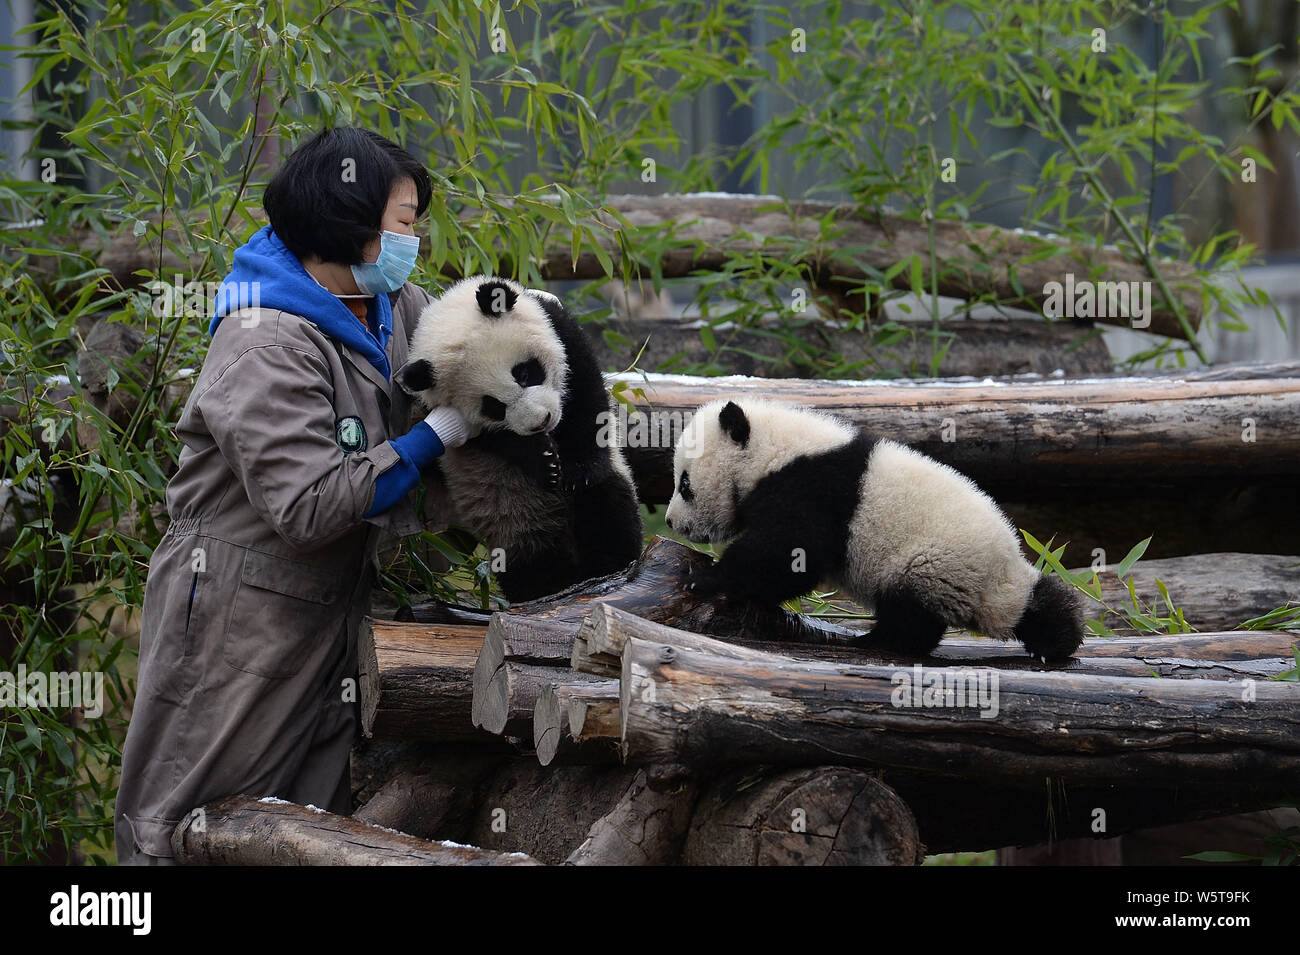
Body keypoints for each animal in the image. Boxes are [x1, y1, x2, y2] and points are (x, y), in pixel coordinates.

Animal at [395, 276, 644, 602]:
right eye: (493, 406)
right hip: (511, 524)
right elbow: (491, 440)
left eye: (524, 373)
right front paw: (544, 462)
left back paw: (610, 565)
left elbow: (585, 398)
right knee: (529, 559)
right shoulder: (431, 405)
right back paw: (546, 588)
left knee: (608, 512)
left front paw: (578, 471)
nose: (542, 421)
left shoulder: (557, 327)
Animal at [664, 397, 1084, 660]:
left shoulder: (813, 491)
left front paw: (705, 577)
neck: (772, 453)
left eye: (684, 484)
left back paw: (875, 641)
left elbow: (790, 554)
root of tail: (997, 573)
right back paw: (1056, 641)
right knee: (1039, 600)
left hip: (932, 560)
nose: (670, 522)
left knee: (912, 613)